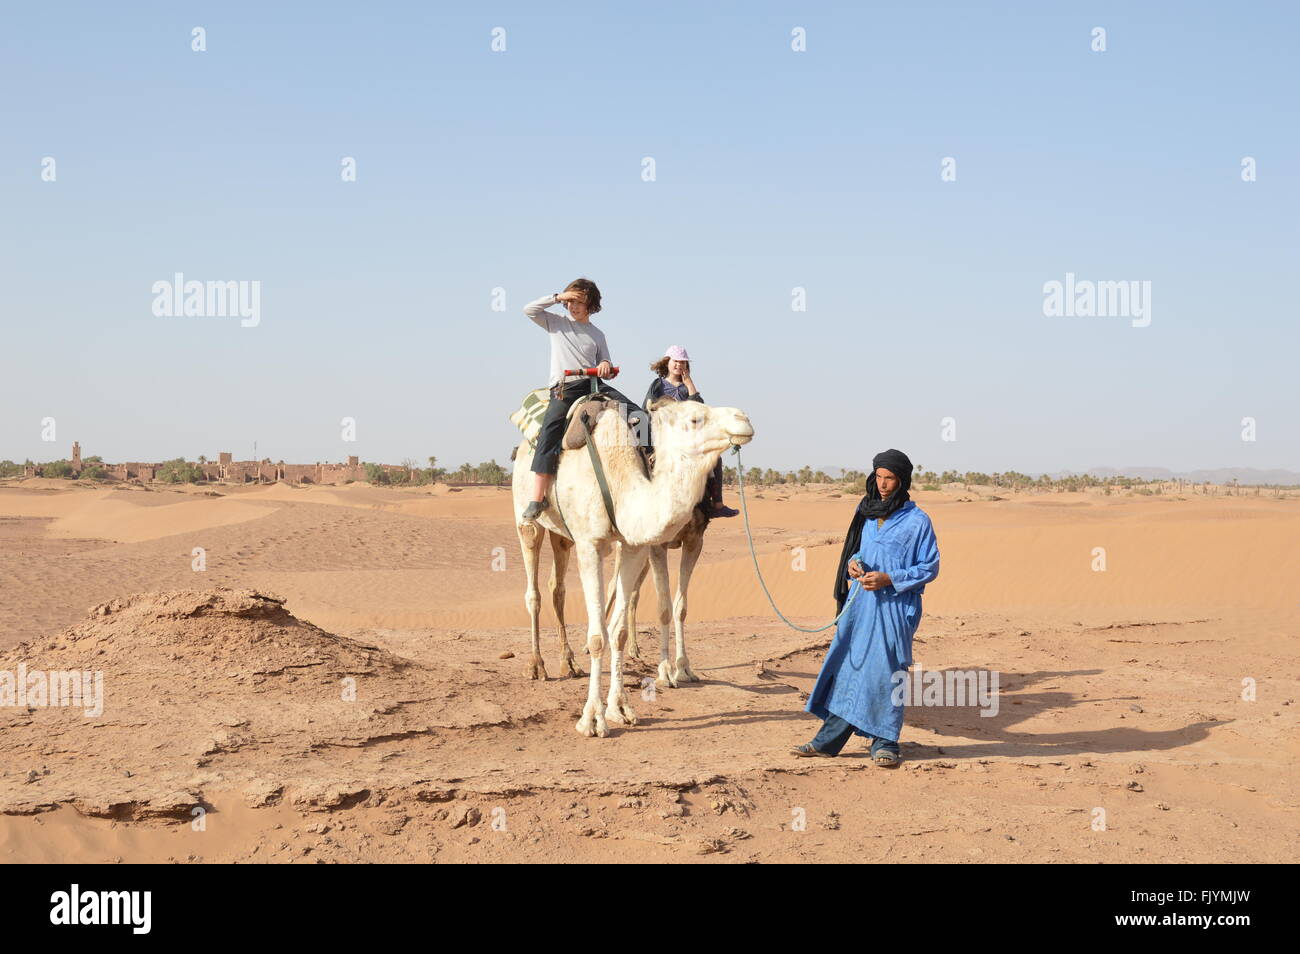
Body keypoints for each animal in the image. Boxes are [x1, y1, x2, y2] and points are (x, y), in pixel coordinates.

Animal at [511, 397, 753, 737]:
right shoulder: (590, 544)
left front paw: (620, 708)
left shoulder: (633, 545)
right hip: (526, 518)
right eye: (695, 418)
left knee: (557, 587)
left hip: (563, 536)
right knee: (533, 588)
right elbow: (598, 636)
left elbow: (619, 632)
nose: (743, 419)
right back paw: (536, 665)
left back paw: (568, 663)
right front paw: (592, 719)